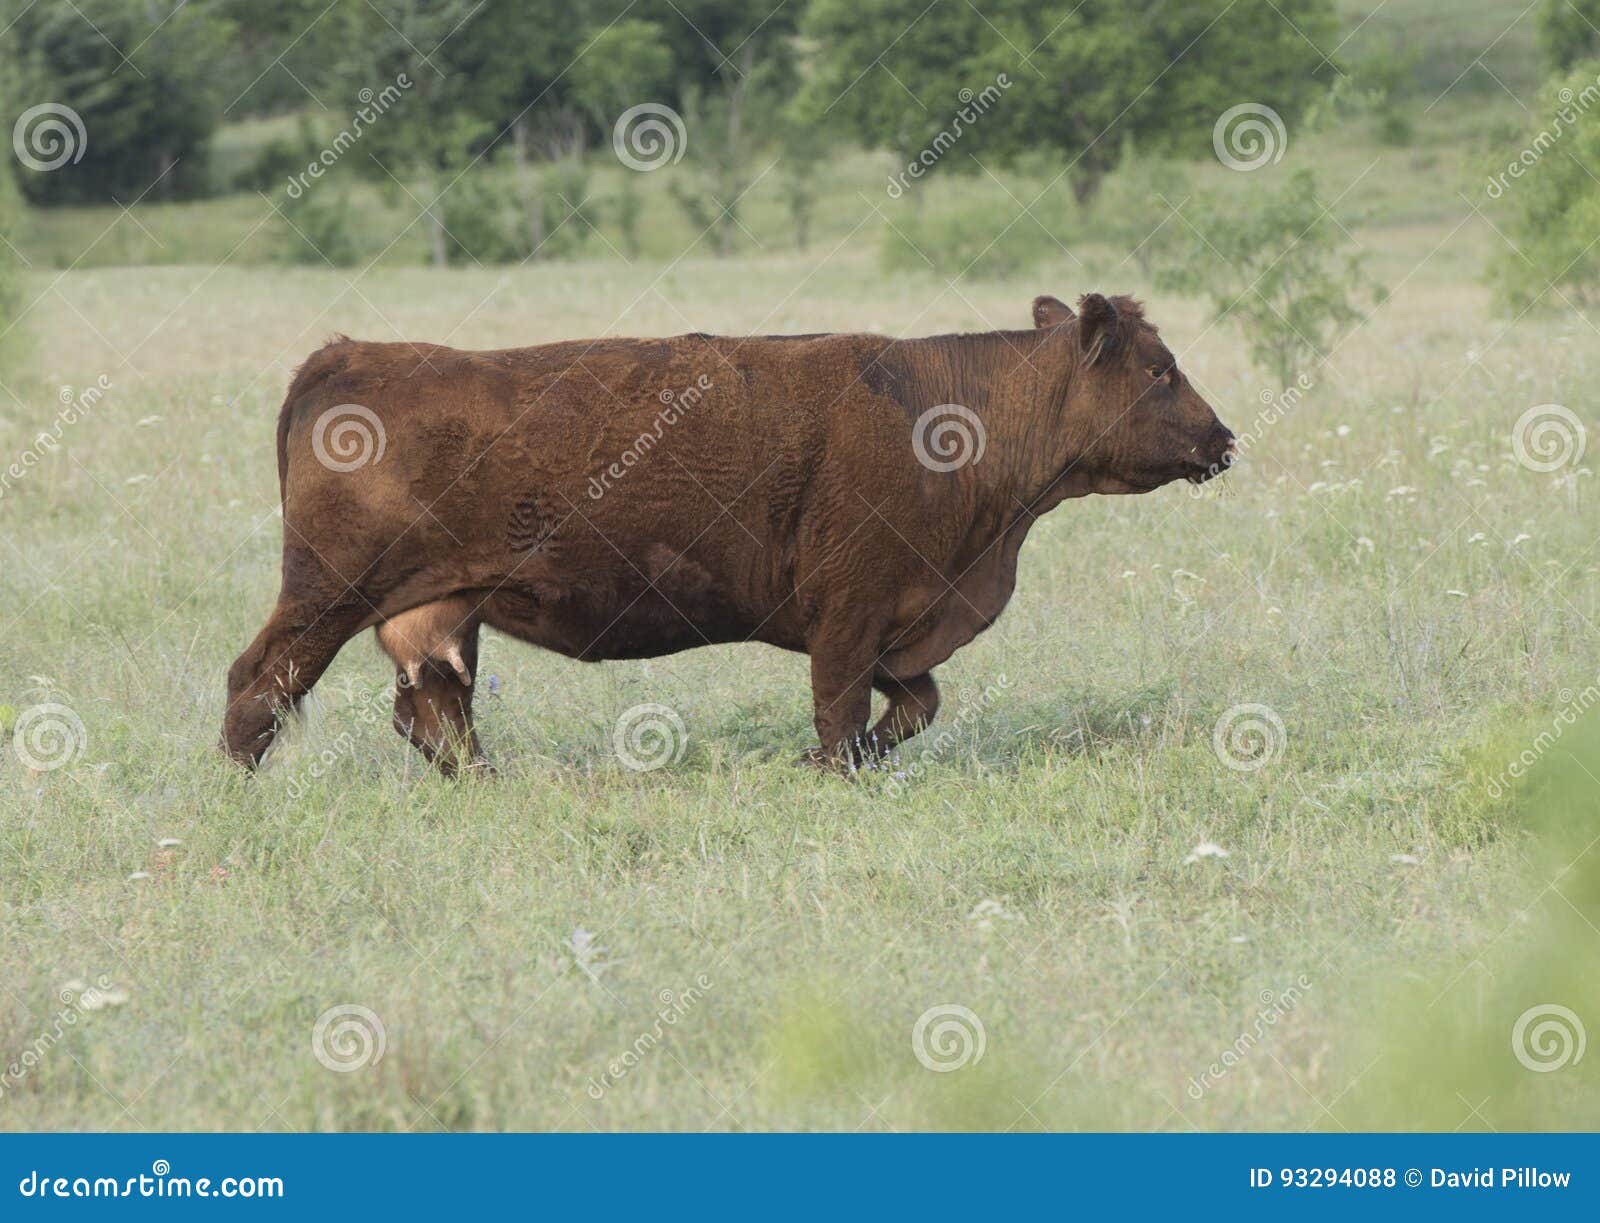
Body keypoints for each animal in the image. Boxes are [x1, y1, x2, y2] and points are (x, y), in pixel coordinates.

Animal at [221, 292, 1235, 775]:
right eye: (1160, 367)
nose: (1224, 438)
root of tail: (349, 354)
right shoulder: (852, 616)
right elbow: (840, 715)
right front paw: (826, 771)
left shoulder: (899, 626)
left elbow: (914, 707)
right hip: (324, 595)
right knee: (259, 682)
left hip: (438, 610)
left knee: (435, 713)